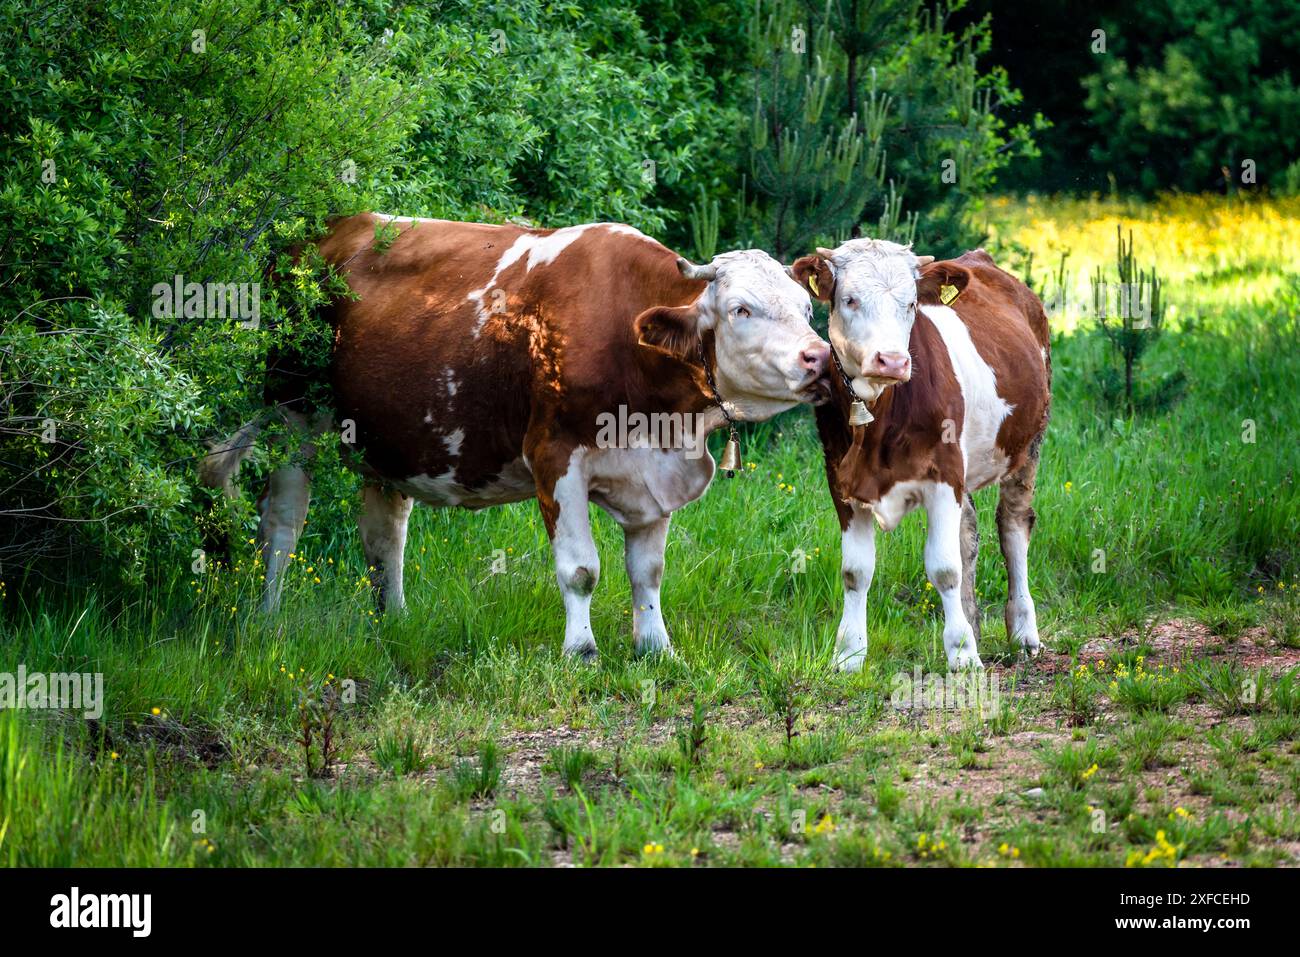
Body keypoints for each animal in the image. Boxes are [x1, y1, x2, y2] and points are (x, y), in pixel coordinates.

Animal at [201, 214, 832, 661]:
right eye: (740, 309)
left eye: (806, 308)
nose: (820, 358)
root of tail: (321, 232)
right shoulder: (555, 456)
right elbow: (581, 568)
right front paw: (581, 651)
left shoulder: (655, 474)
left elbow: (647, 572)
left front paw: (656, 648)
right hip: (294, 413)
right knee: (282, 523)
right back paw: (268, 622)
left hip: (393, 437)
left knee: (384, 536)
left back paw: (394, 623)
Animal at [790, 241, 1050, 671]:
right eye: (849, 299)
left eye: (911, 303)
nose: (893, 360)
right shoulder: (840, 481)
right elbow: (855, 571)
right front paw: (848, 655)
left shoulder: (944, 475)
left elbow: (944, 568)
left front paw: (961, 654)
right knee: (968, 533)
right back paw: (974, 626)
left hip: (1028, 443)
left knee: (1013, 527)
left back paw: (1024, 631)